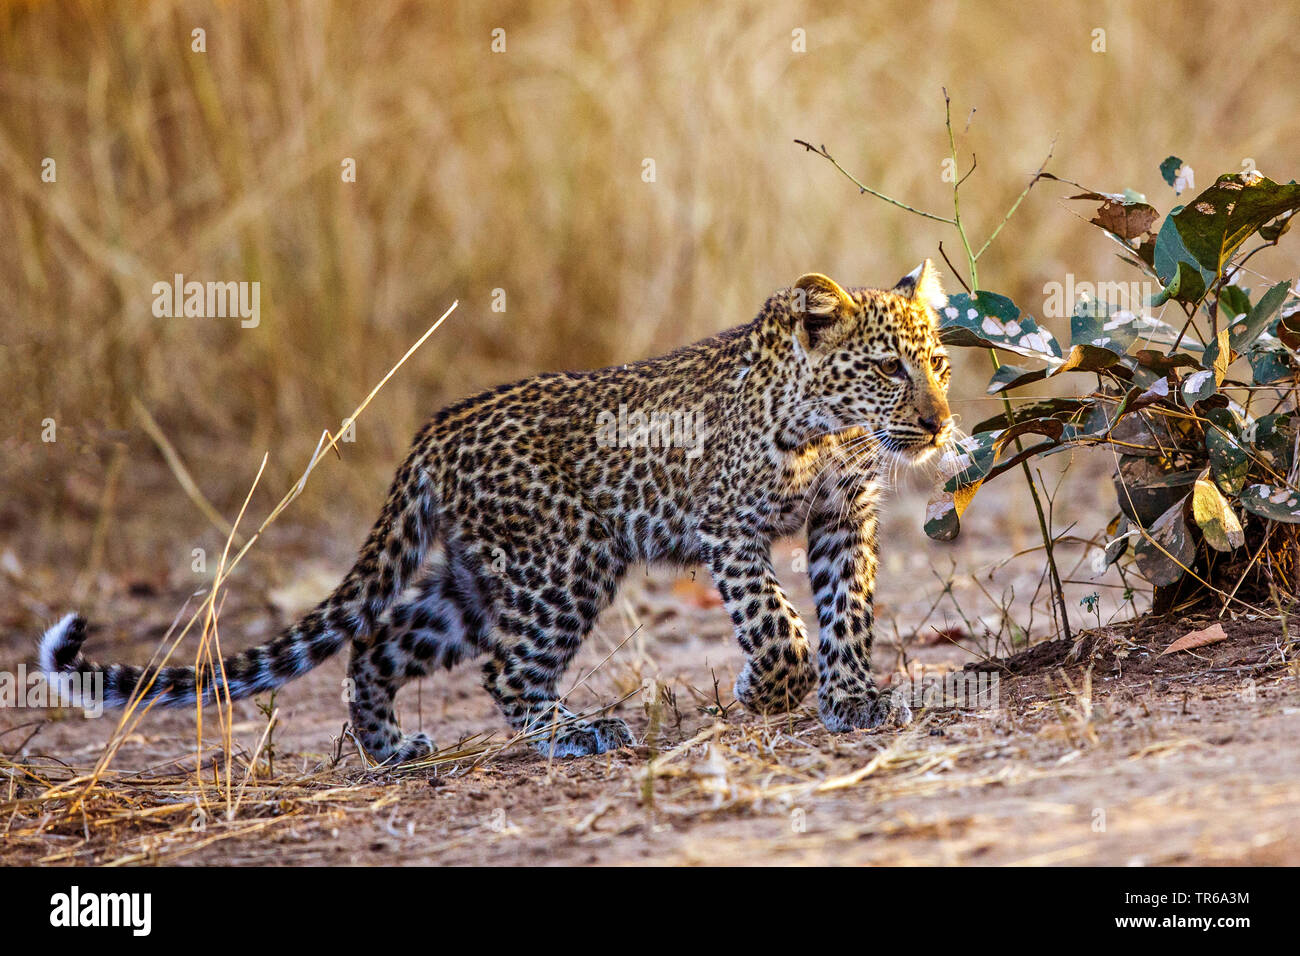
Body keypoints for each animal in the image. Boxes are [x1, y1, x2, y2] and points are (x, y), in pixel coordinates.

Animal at [37, 261, 954, 764]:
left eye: (941, 363)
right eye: (886, 368)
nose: (942, 422)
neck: (827, 426)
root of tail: (435, 432)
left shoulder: (844, 518)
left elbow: (847, 612)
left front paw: (852, 698)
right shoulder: (728, 528)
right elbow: (778, 627)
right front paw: (766, 692)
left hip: (482, 577)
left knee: (379, 642)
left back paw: (390, 750)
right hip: (566, 560)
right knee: (505, 669)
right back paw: (575, 733)